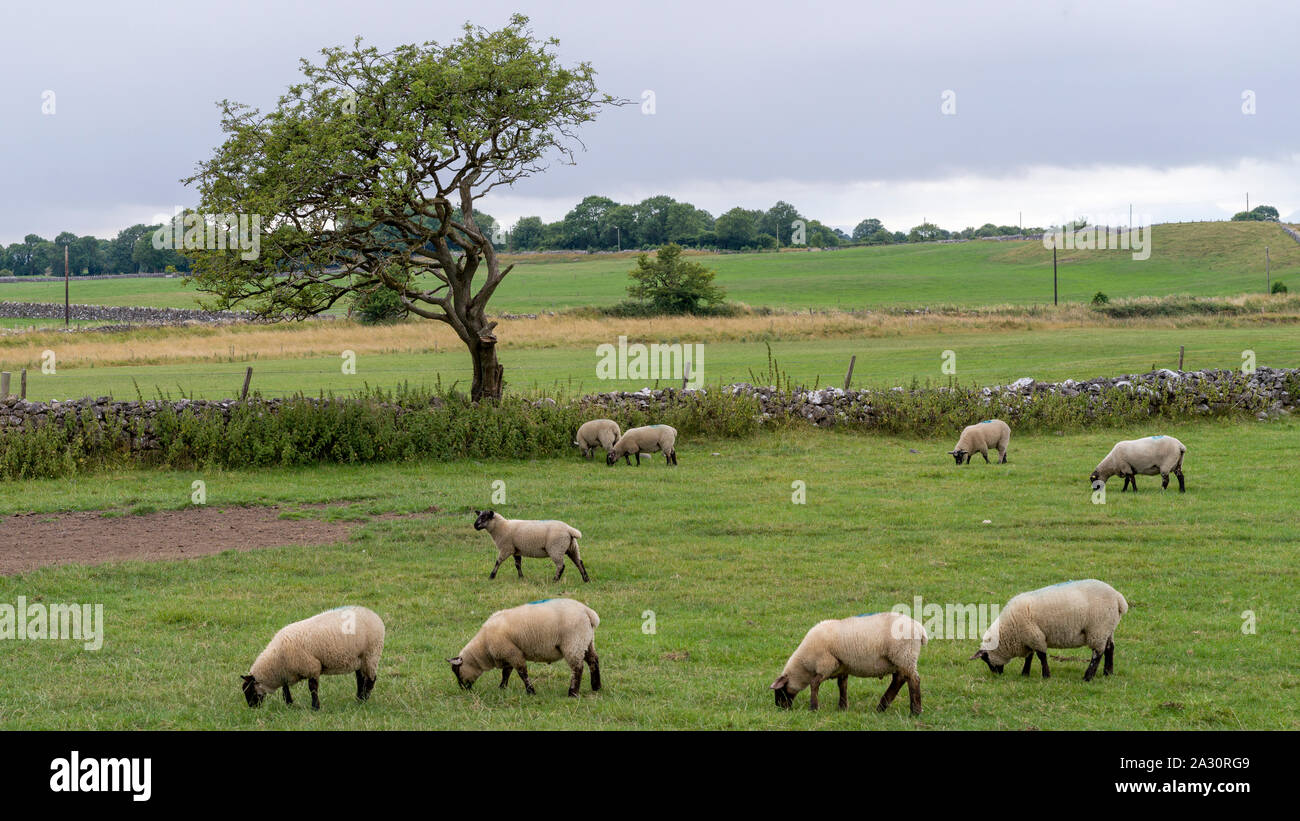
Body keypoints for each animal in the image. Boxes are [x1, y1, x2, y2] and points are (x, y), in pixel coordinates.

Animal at [241, 606, 385, 710]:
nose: (252, 708)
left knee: (371, 679)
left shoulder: (312, 666)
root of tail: (375, 616)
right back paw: (359, 698)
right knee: (360, 678)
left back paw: (364, 699)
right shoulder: (286, 672)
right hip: (359, 658)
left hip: (371, 654)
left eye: (250, 690)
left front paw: (315, 707)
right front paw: (289, 704)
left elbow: (313, 688)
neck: (277, 659)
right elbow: (285, 689)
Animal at [447, 598, 600, 697]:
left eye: (456, 671)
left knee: (577, 668)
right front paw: (502, 687)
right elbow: (506, 673)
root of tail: (588, 612)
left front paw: (531, 691)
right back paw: (596, 686)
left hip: (573, 642)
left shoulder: (513, 653)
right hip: (586, 641)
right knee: (593, 660)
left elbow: (522, 673)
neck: (483, 648)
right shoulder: (507, 654)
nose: (463, 689)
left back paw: (573, 693)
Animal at [769, 611, 928, 715]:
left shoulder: (827, 664)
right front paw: (842, 707)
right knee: (899, 679)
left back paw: (915, 712)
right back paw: (881, 707)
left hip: (905, 655)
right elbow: (842, 685)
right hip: (900, 659)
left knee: (913, 680)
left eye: (780, 691)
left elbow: (814, 684)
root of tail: (920, 629)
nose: (780, 708)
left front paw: (813, 707)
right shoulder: (841, 666)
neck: (805, 664)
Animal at [970, 579, 1128, 682]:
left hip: (1098, 629)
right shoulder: (1029, 638)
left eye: (986, 659)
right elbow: (1030, 656)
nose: (996, 675)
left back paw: (1088, 677)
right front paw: (1025, 673)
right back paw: (1108, 672)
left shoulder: (1035, 636)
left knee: (1098, 653)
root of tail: (1119, 598)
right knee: (1110, 648)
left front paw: (1046, 675)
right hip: (1108, 628)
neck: (1008, 632)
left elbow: (1041, 656)